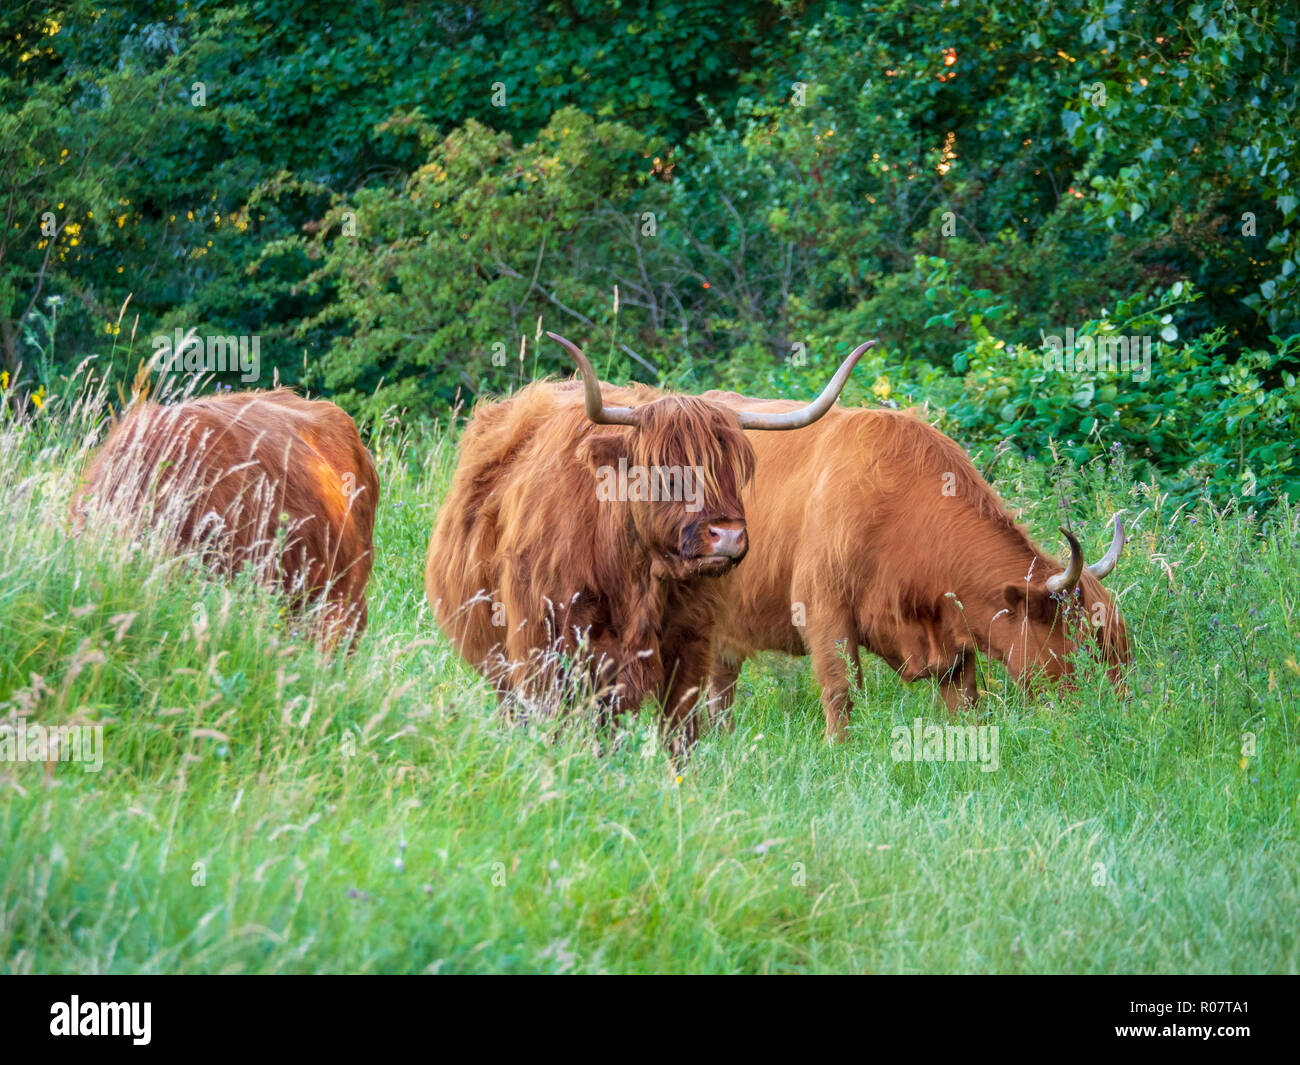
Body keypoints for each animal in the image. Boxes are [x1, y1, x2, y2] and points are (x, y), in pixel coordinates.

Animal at [424, 333, 875, 748]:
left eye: (735, 470)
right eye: (663, 471)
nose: (728, 535)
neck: (635, 574)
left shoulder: (689, 644)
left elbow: (680, 732)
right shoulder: (546, 646)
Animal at [701, 402, 1130, 741]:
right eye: (1086, 640)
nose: (1121, 709)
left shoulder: (952, 638)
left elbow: (965, 702)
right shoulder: (823, 611)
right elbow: (841, 690)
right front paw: (839, 751)